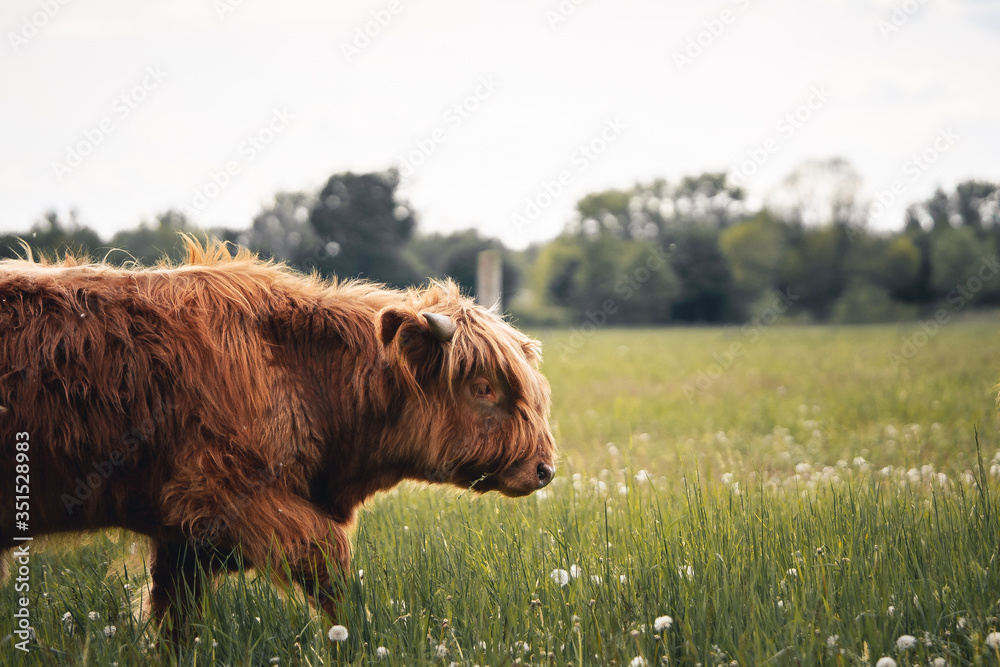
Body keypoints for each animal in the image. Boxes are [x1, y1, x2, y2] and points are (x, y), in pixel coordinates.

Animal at [0, 238, 557, 633]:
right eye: (483, 387)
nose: (545, 469)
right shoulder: (228, 495)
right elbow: (330, 565)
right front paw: (353, 640)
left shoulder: (180, 533)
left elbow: (175, 619)